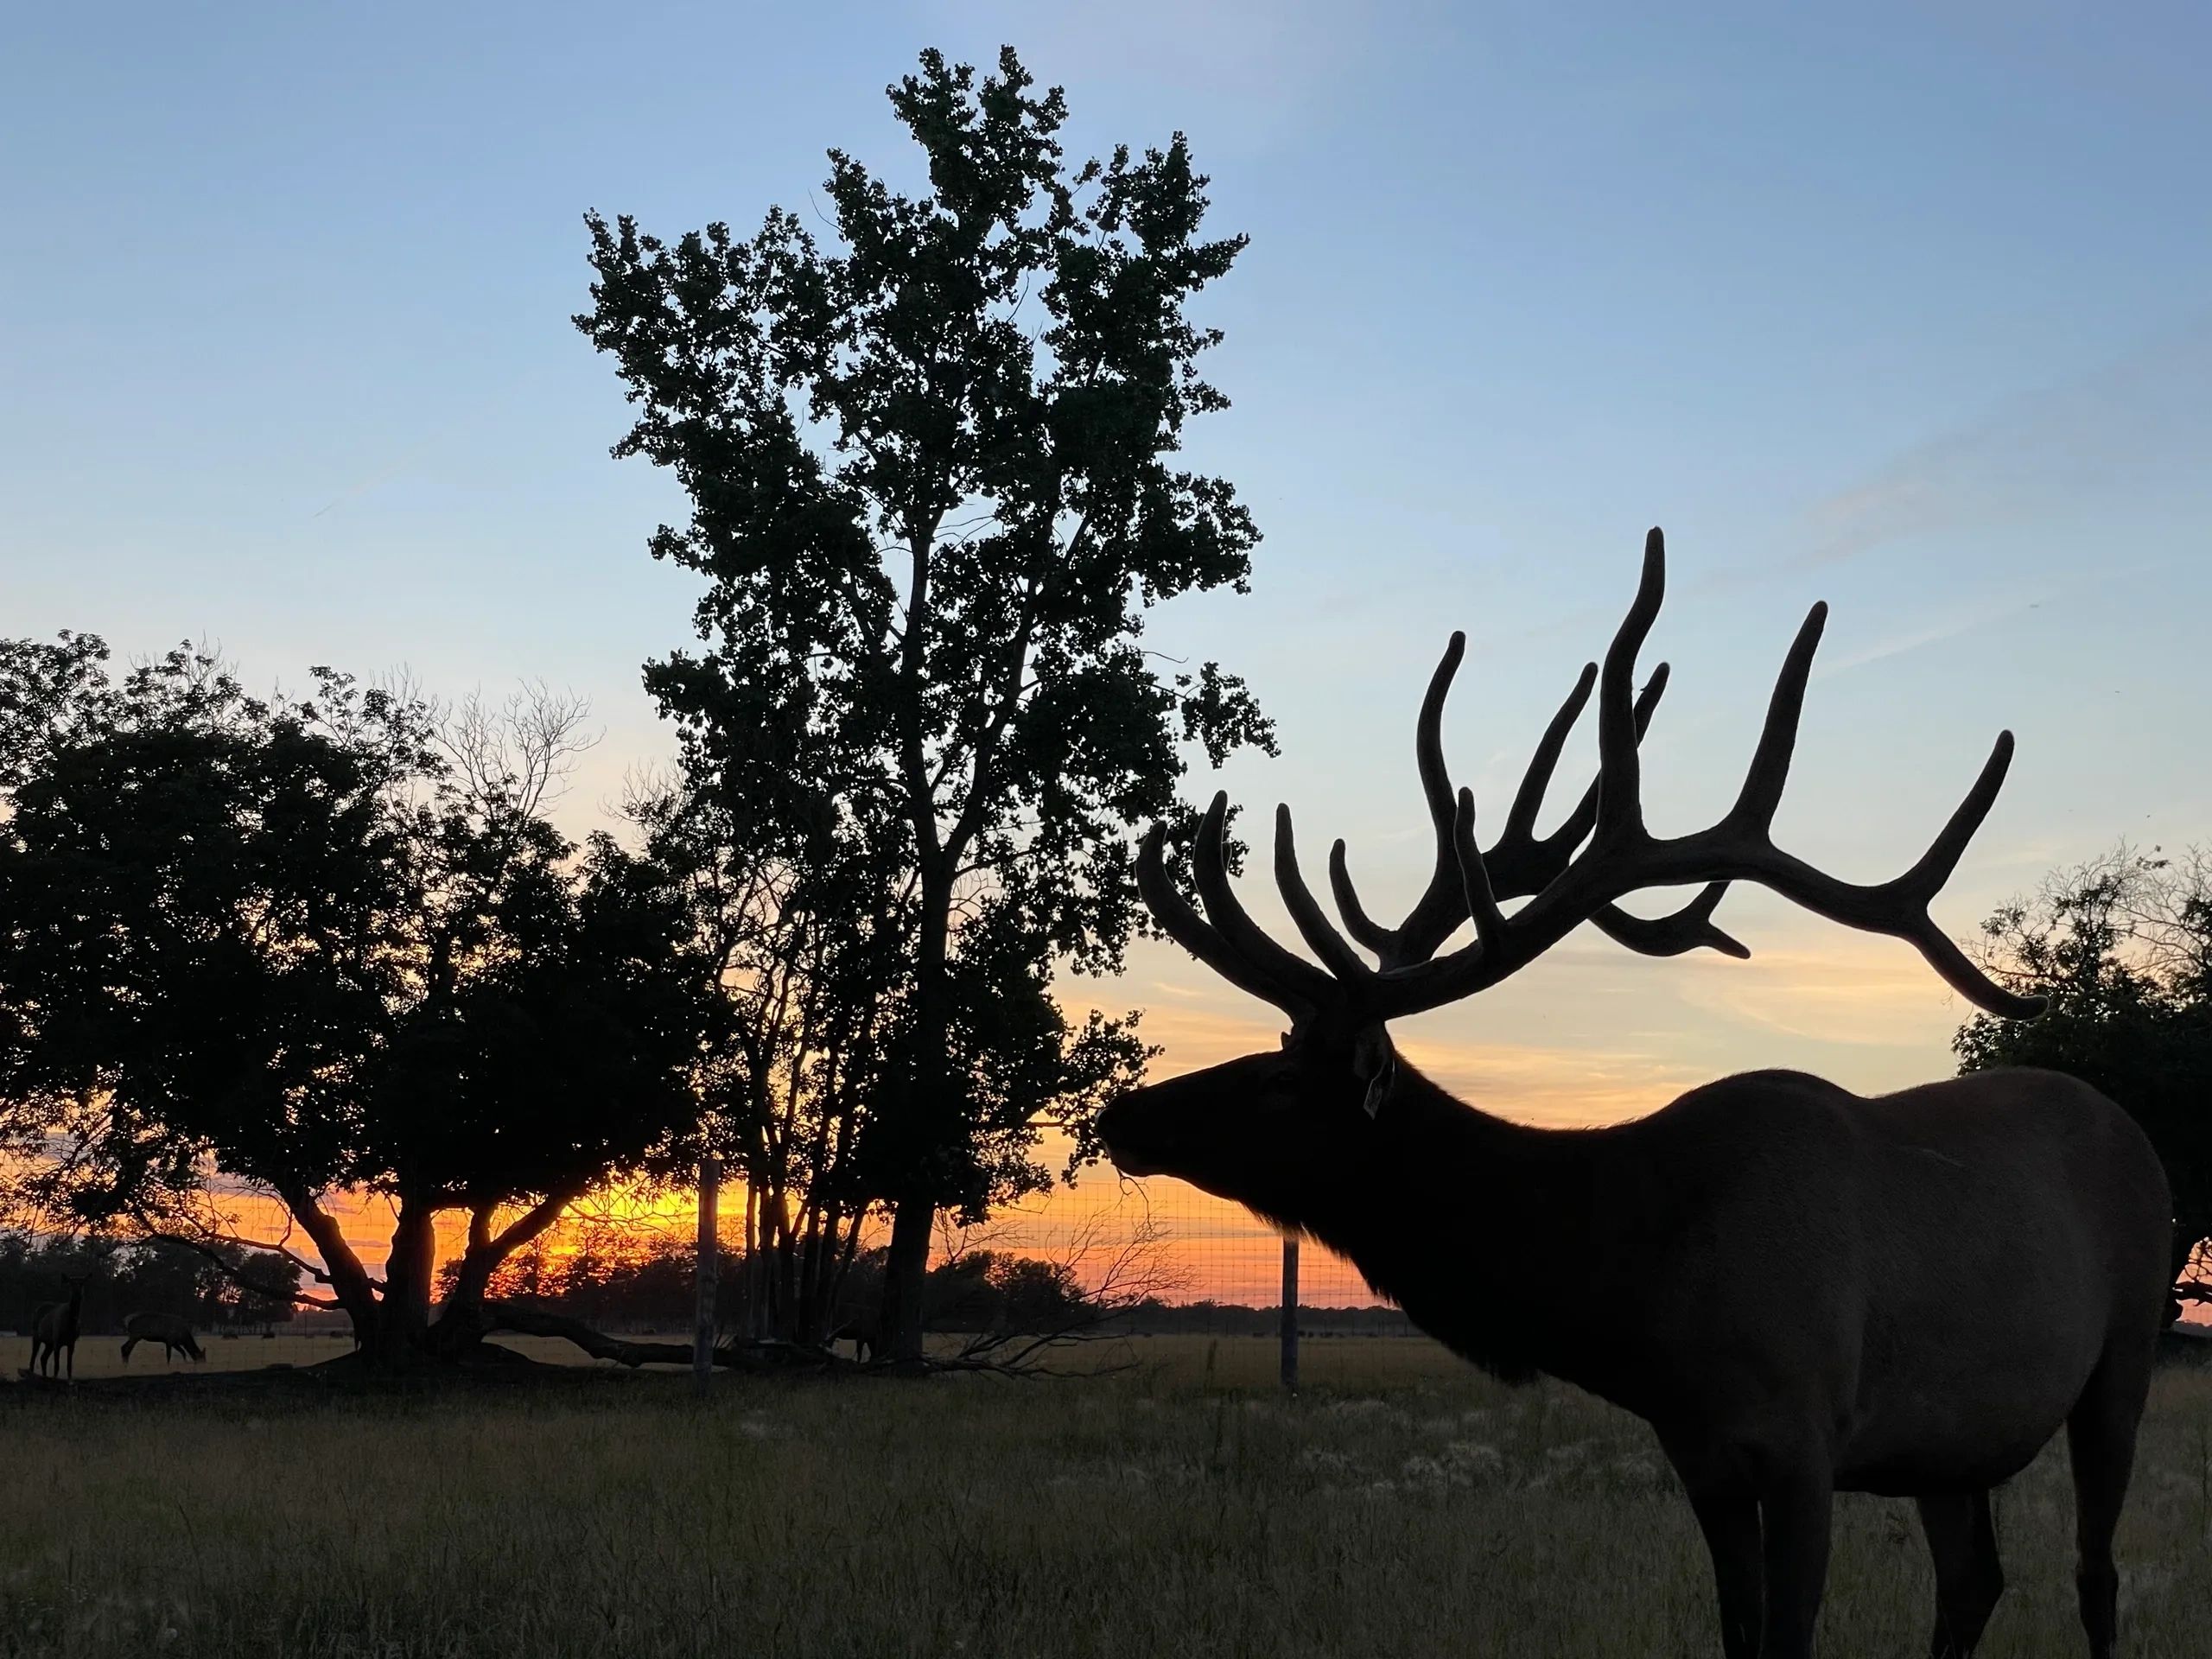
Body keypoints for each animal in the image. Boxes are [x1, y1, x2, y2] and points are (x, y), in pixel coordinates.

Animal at [1095, 530, 2172, 1659]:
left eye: (1279, 1080)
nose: (1122, 1115)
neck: (1643, 1302)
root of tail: (2132, 1132)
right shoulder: (1700, 1454)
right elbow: (1739, 1633)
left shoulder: (1805, 1437)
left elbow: (1788, 1634)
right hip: (1949, 1443)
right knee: (1973, 1579)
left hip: (2123, 1355)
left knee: (2095, 1572)